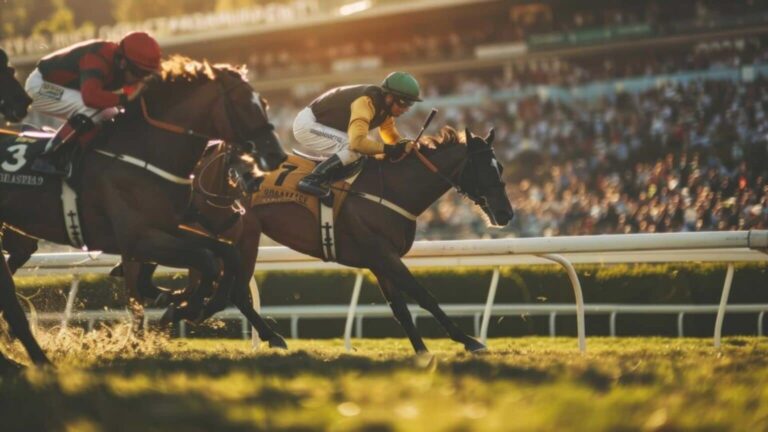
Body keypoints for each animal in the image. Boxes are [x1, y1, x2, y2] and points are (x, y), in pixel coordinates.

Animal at [0, 55, 287, 367]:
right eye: (242, 104)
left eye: (264, 103)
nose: (277, 155)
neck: (147, 153)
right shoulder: (139, 240)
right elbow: (205, 262)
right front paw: (180, 309)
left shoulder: (172, 228)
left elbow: (225, 257)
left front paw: (191, 306)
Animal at [135, 126, 513, 353]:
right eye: (487, 169)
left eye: (502, 168)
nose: (507, 213)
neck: (392, 189)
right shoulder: (384, 255)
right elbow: (424, 295)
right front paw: (468, 340)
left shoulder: (379, 261)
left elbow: (400, 309)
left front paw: (422, 351)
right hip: (243, 234)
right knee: (234, 289)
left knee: (229, 288)